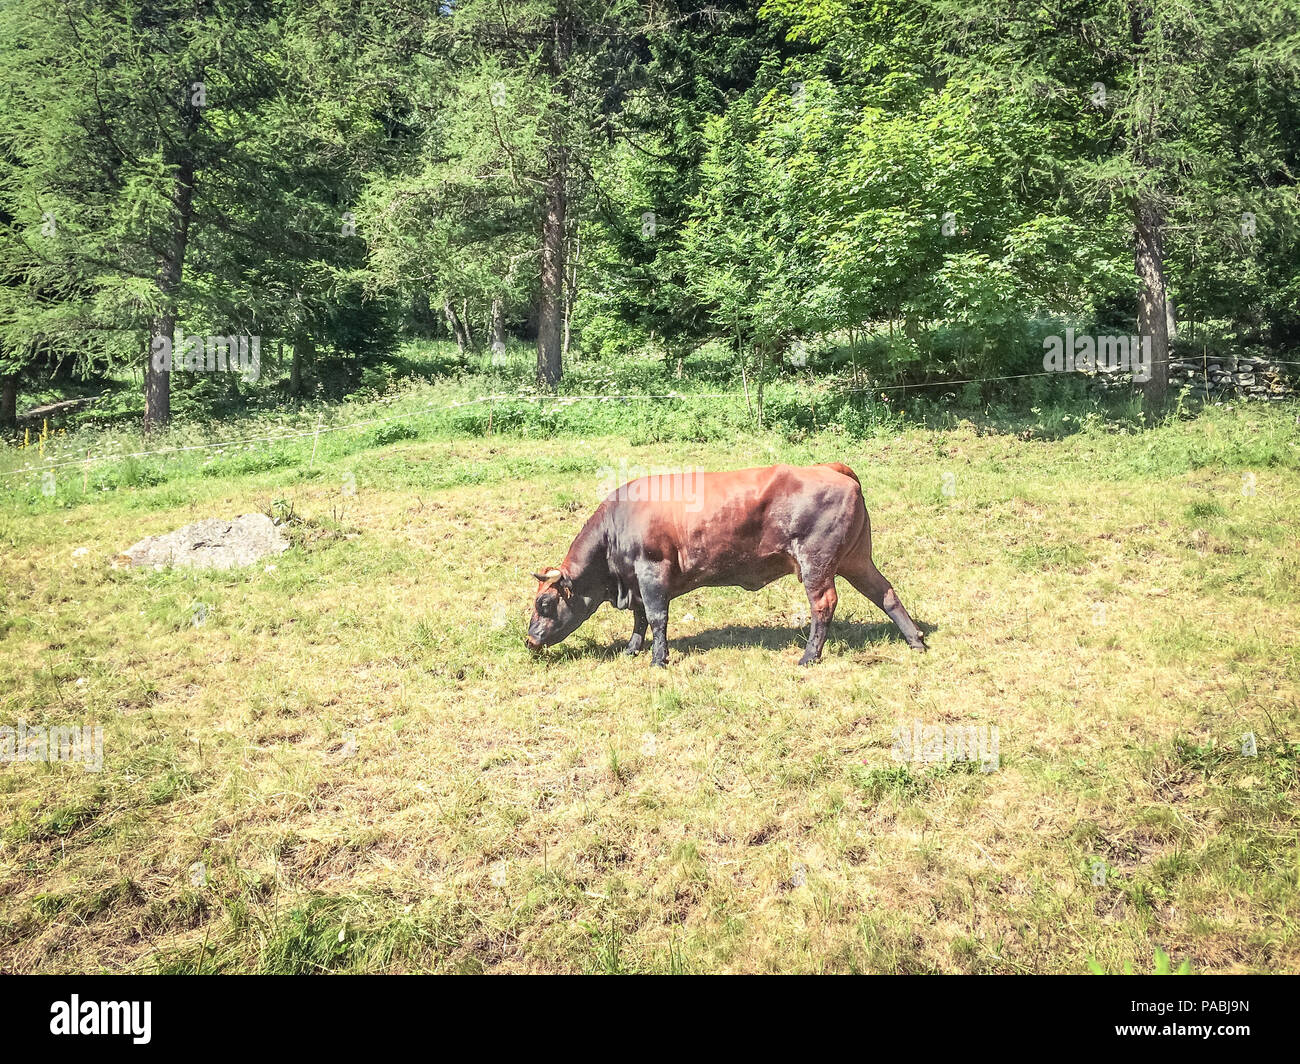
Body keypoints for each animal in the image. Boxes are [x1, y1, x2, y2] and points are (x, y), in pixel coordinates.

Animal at [525, 462, 927, 667]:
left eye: (544, 603)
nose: (529, 641)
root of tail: (832, 469)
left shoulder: (652, 572)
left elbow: (656, 617)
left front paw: (659, 659)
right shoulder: (635, 581)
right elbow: (639, 619)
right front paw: (631, 649)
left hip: (818, 563)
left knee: (824, 605)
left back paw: (809, 656)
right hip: (857, 559)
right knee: (886, 593)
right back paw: (915, 641)